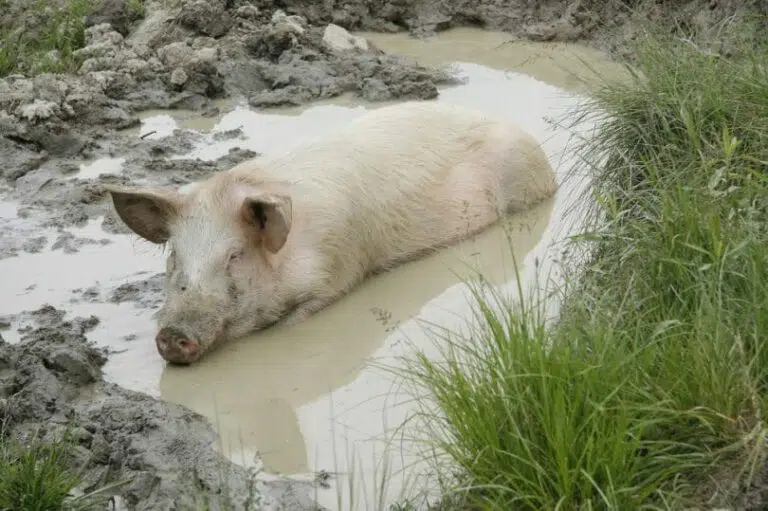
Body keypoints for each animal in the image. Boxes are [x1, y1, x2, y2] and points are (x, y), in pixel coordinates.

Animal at [105, 100, 557, 365]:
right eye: (174, 257)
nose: (171, 334)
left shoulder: (338, 267)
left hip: (524, 187)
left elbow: (295, 321)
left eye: (234, 256)